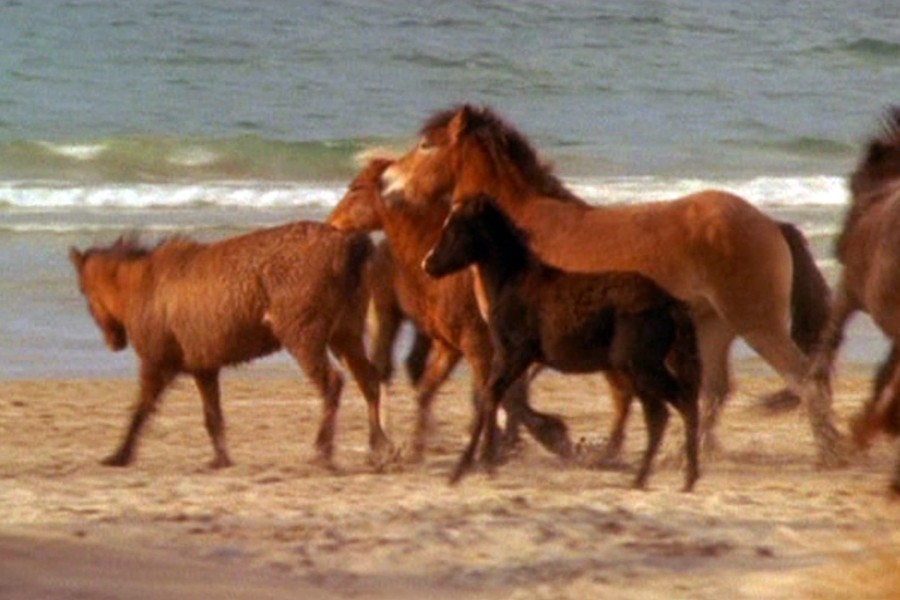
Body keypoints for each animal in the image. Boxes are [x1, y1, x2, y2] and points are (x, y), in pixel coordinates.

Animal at [69, 222, 392, 469]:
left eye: (83, 290)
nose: (114, 341)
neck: (144, 282)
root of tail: (347, 244)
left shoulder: (156, 363)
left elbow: (141, 409)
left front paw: (119, 455)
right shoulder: (204, 368)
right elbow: (213, 416)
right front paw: (220, 459)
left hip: (305, 339)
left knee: (333, 383)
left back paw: (323, 451)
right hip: (346, 336)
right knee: (369, 381)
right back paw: (379, 449)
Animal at [328, 158, 573, 462]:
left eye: (356, 188)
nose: (332, 223)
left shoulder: (467, 345)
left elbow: (478, 393)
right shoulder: (461, 346)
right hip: (389, 318)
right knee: (384, 370)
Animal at [424, 194, 701, 490]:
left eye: (455, 229)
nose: (428, 264)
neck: (513, 283)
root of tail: (669, 301)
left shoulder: (515, 355)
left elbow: (490, 397)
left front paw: (465, 468)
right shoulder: (505, 357)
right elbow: (491, 397)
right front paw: (484, 464)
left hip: (642, 366)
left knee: (679, 406)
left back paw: (684, 478)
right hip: (637, 370)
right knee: (660, 414)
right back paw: (647, 479)